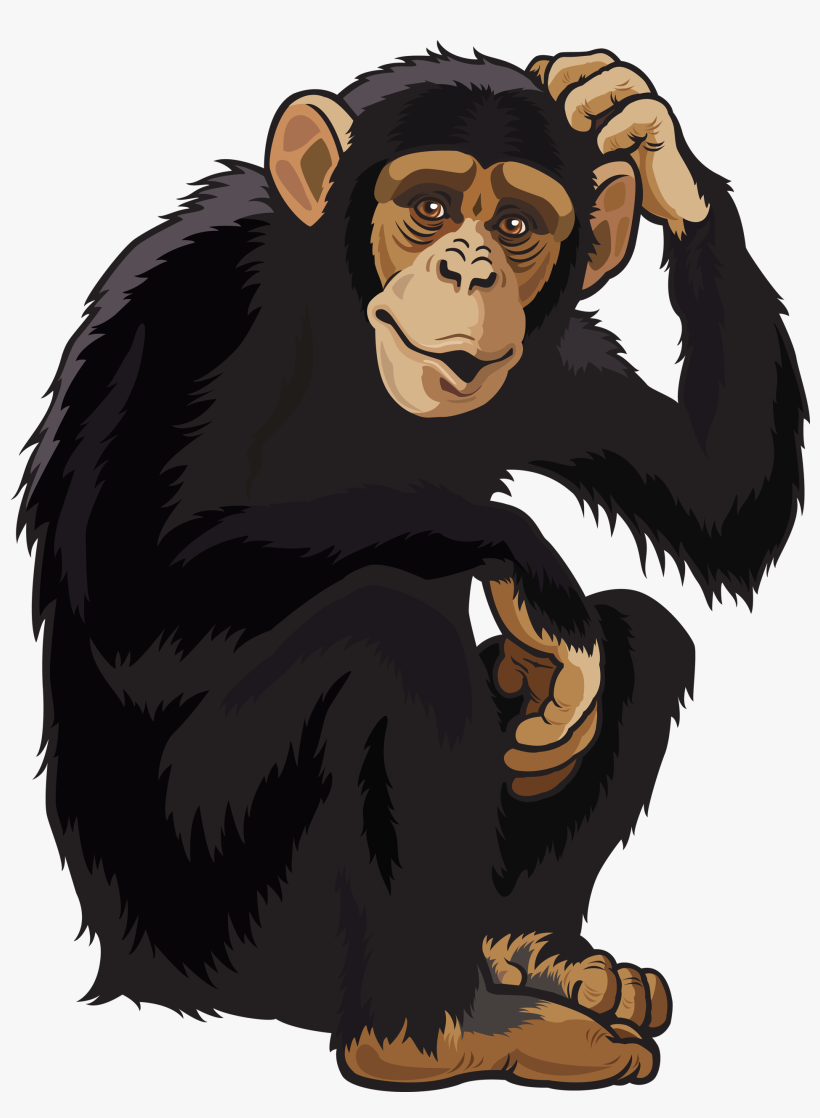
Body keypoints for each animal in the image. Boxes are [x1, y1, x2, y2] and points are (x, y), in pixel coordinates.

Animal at [18, 48, 806, 1088]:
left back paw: (536, 956)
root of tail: (129, 965)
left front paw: (639, 127)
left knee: (649, 628)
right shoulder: (203, 304)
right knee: (387, 639)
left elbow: (721, 500)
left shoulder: (555, 364)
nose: (469, 266)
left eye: (516, 226)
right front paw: (533, 571)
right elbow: (134, 577)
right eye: (429, 207)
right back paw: (432, 1031)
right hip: (218, 924)